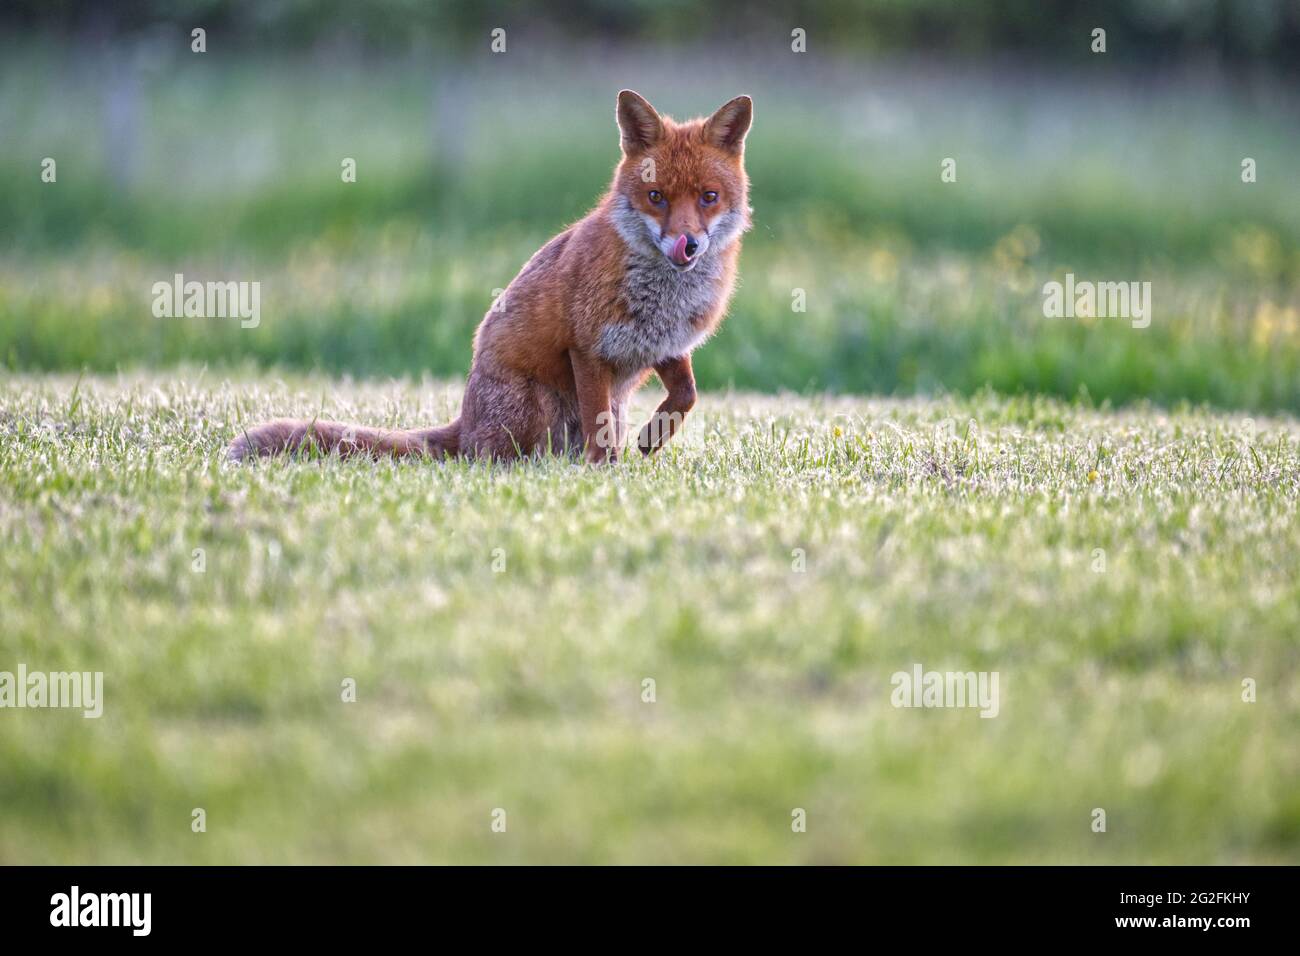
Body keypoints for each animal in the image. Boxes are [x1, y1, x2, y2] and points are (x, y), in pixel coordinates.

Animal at [228, 89, 753, 465]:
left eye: (708, 197)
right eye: (656, 197)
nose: (687, 245)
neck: (665, 293)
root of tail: (464, 419)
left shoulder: (663, 342)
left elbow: (686, 395)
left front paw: (653, 438)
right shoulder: (586, 348)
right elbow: (599, 429)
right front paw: (605, 473)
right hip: (538, 408)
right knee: (498, 457)